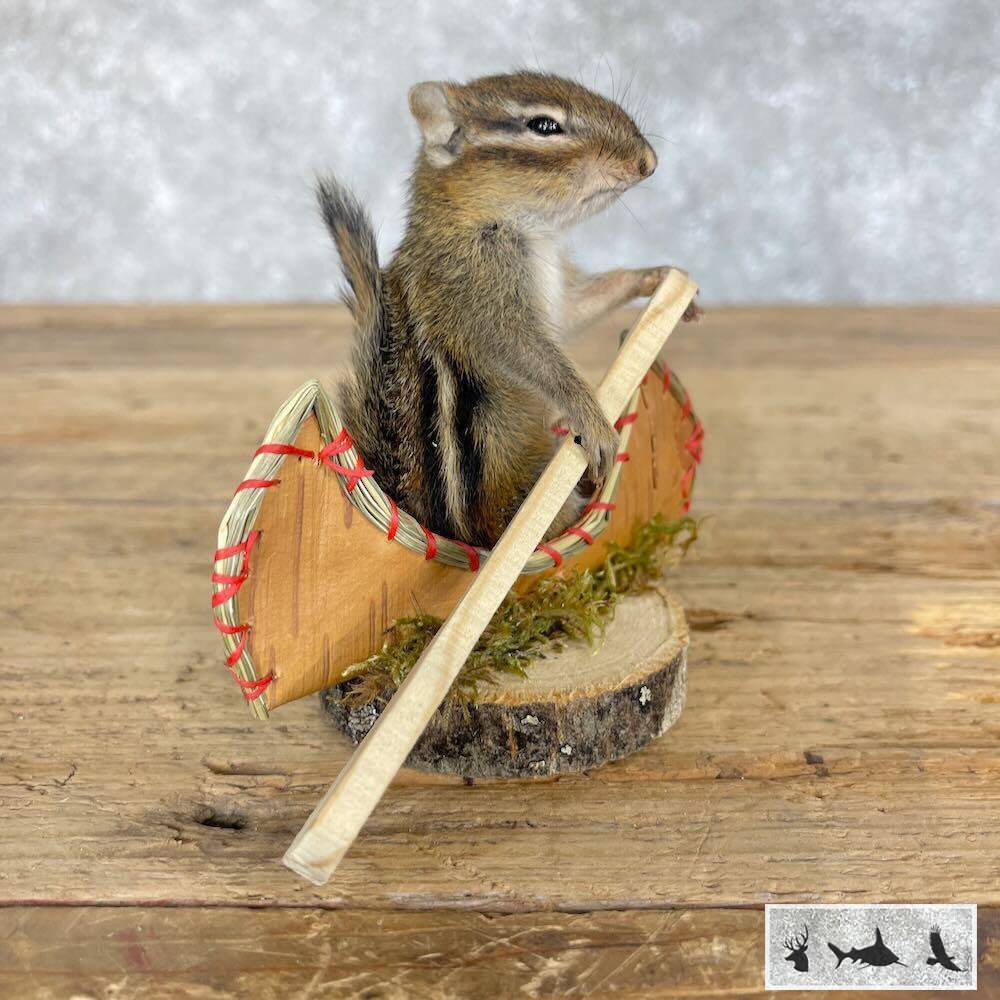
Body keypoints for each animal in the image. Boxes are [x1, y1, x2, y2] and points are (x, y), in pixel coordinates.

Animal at [319, 71, 700, 548]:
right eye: (543, 126)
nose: (648, 161)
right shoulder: (484, 299)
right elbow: (534, 357)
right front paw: (591, 418)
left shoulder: (558, 295)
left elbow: (583, 305)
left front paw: (656, 276)